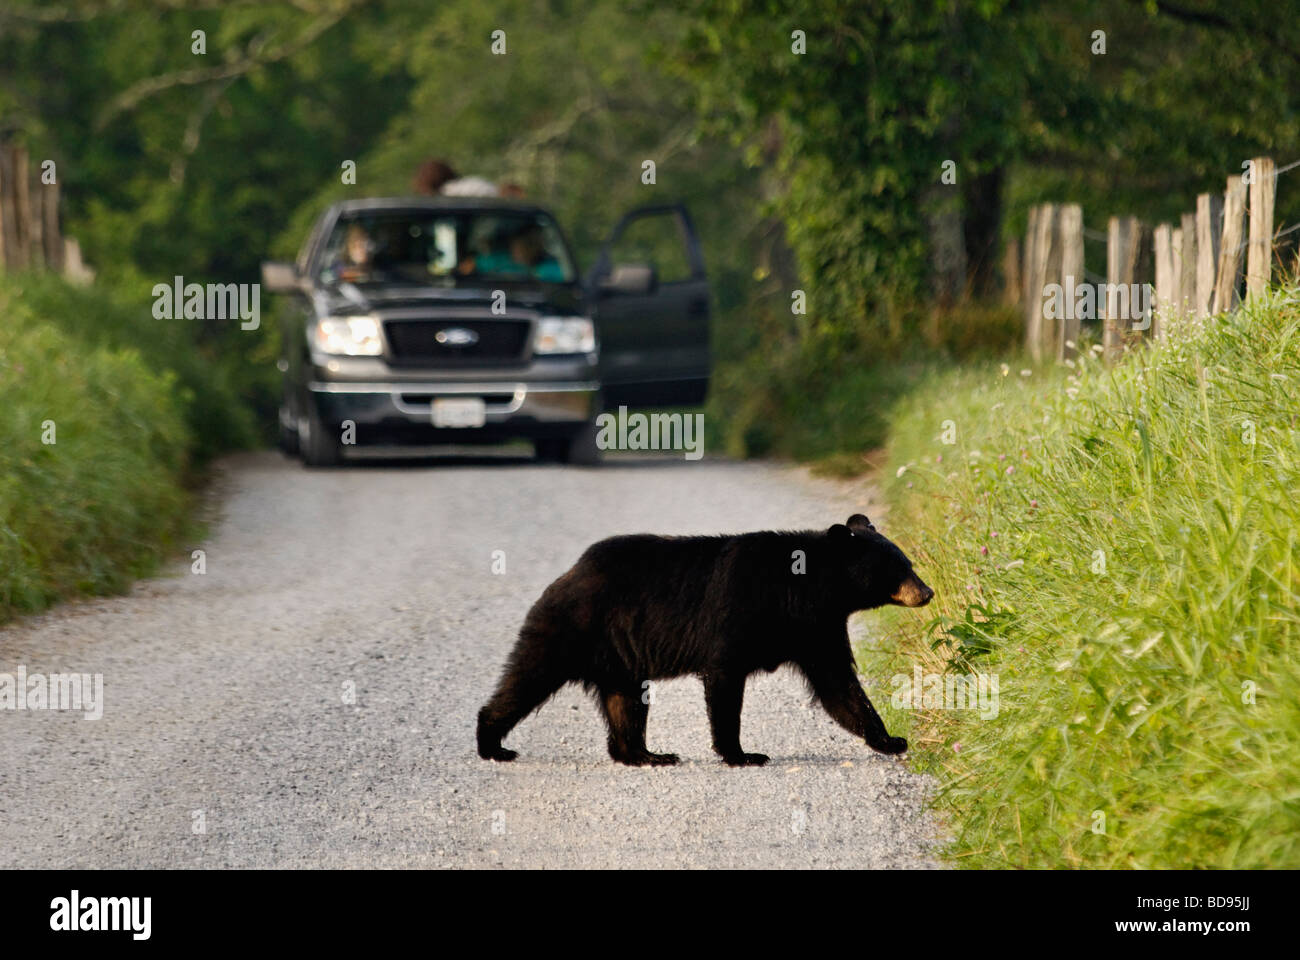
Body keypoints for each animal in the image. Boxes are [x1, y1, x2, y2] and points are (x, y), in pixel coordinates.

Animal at [476, 513, 933, 767]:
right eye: (899, 567)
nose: (927, 592)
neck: (805, 589)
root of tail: (568, 573)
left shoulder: (816, 627)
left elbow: (839, 684)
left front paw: (890, 740)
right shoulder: (740, 613)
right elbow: (725, 681)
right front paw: (743, 754)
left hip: (620, 657)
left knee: (626, 702)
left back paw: (648, 755)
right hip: (570, 627)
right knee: (527, 678)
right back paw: (493, 744)